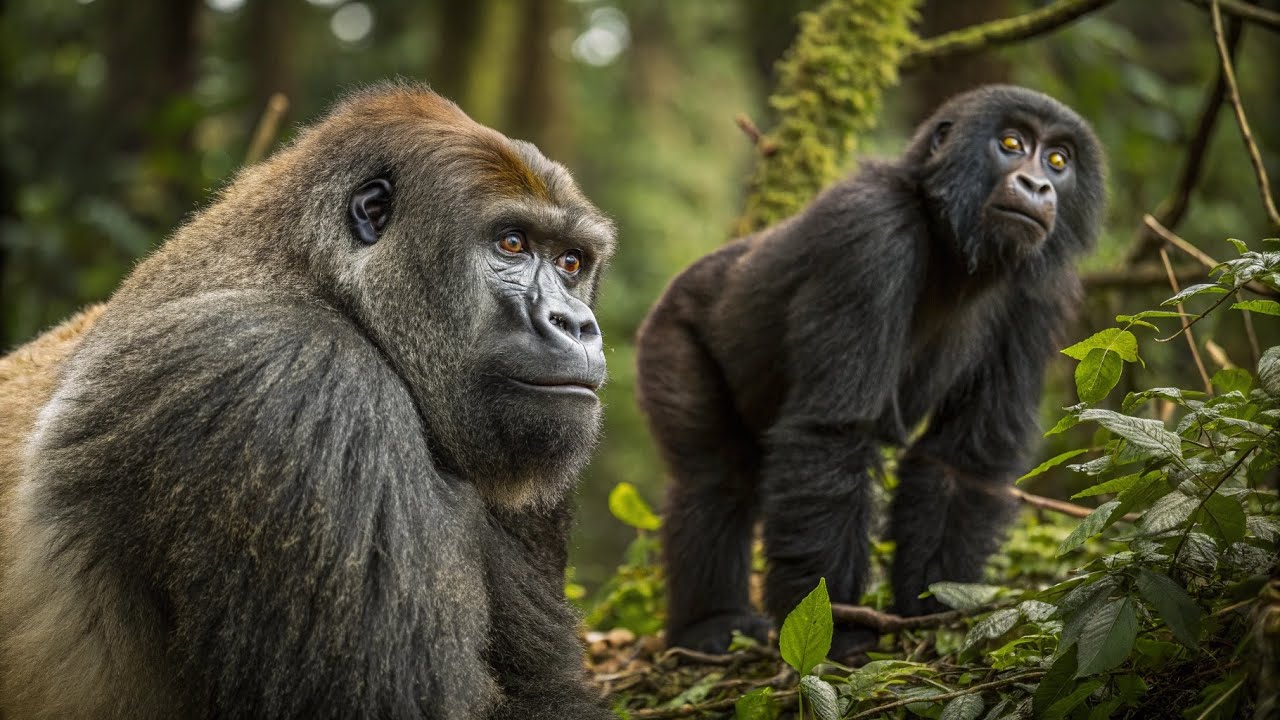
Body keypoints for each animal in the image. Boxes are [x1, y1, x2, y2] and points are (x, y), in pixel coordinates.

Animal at [635, 85, 1105, 657]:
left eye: (1059, 161)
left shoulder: (1042, 293)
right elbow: (833, 432)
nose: (1037, 184)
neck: (950, 240)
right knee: (714, 476)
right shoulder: (870, 233)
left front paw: (935, 608)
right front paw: (835, 629)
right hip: (667, 332)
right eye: (1012, 143)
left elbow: (964, 456)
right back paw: (710, 624)